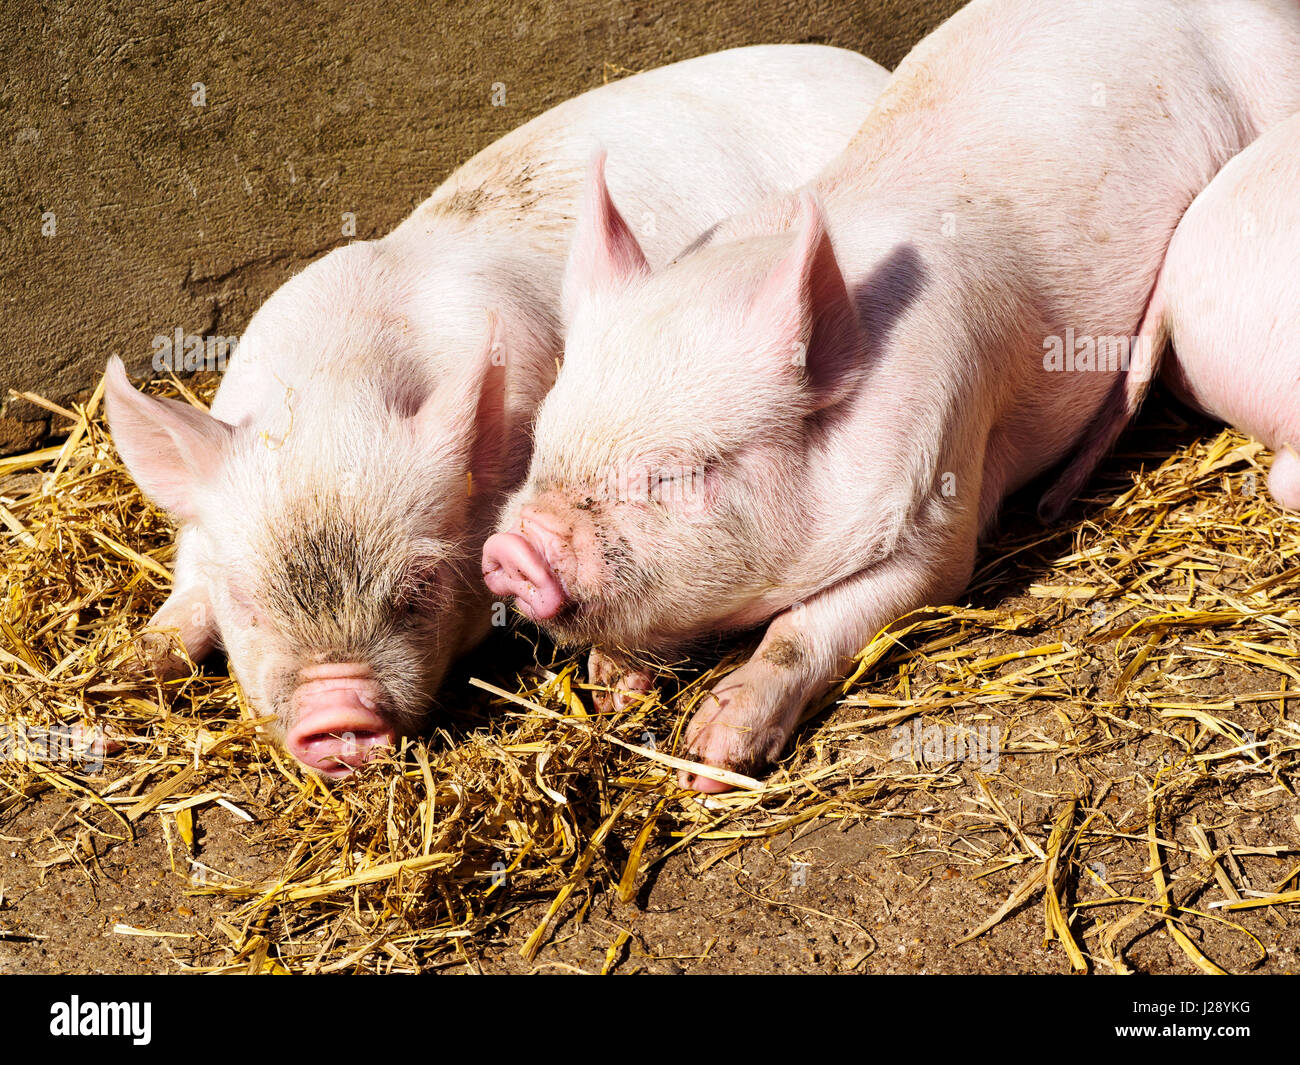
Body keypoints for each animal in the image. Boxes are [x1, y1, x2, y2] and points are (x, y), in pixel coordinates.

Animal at [103, 46, 890, 778]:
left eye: (419, 588)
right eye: (247, 599)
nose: (337, 717)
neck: (337, 380)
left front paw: (616, 679)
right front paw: (133, 660)